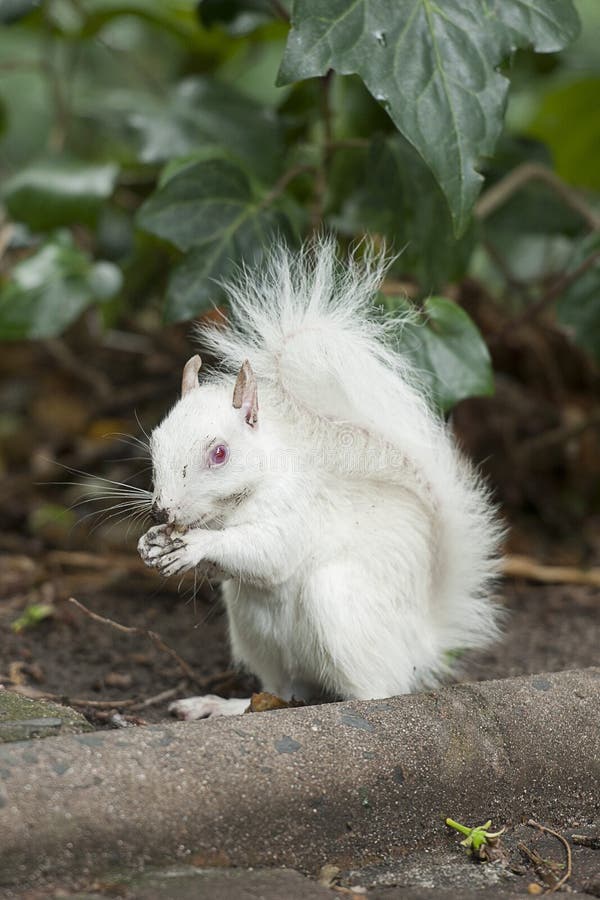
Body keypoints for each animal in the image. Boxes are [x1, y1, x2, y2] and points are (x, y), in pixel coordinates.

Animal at [138, 239, 503, 719]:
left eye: (219, 453)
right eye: (155, 442)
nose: (163, 509)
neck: (236, 502)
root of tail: (421, 643)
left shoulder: (296, 510)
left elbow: (270, 550)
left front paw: (197, 545)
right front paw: (151, 544)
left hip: (338, 605)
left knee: (380, 689)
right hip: (256, 631)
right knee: (281, 687)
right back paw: (225, 705)